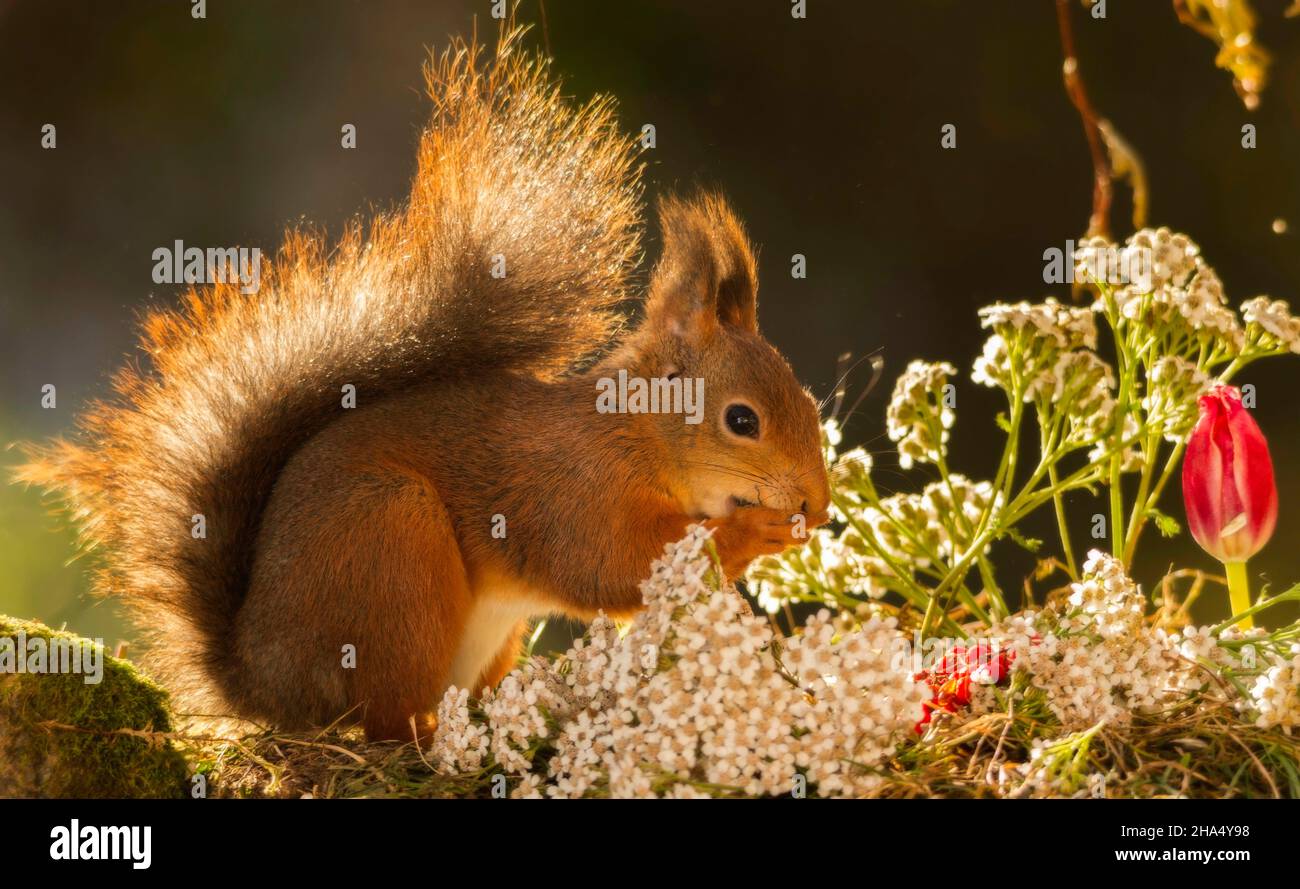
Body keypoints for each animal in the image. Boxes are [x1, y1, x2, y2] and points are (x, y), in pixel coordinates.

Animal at [16, 26, 831, 741]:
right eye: (742, 420)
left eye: (812, 403)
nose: (818, 509)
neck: (638, 433)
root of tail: (266, 682)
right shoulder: (573, 489)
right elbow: (615, 564)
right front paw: (756, 533)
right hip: (393, 547)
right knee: (386, 716)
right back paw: (430, 737)